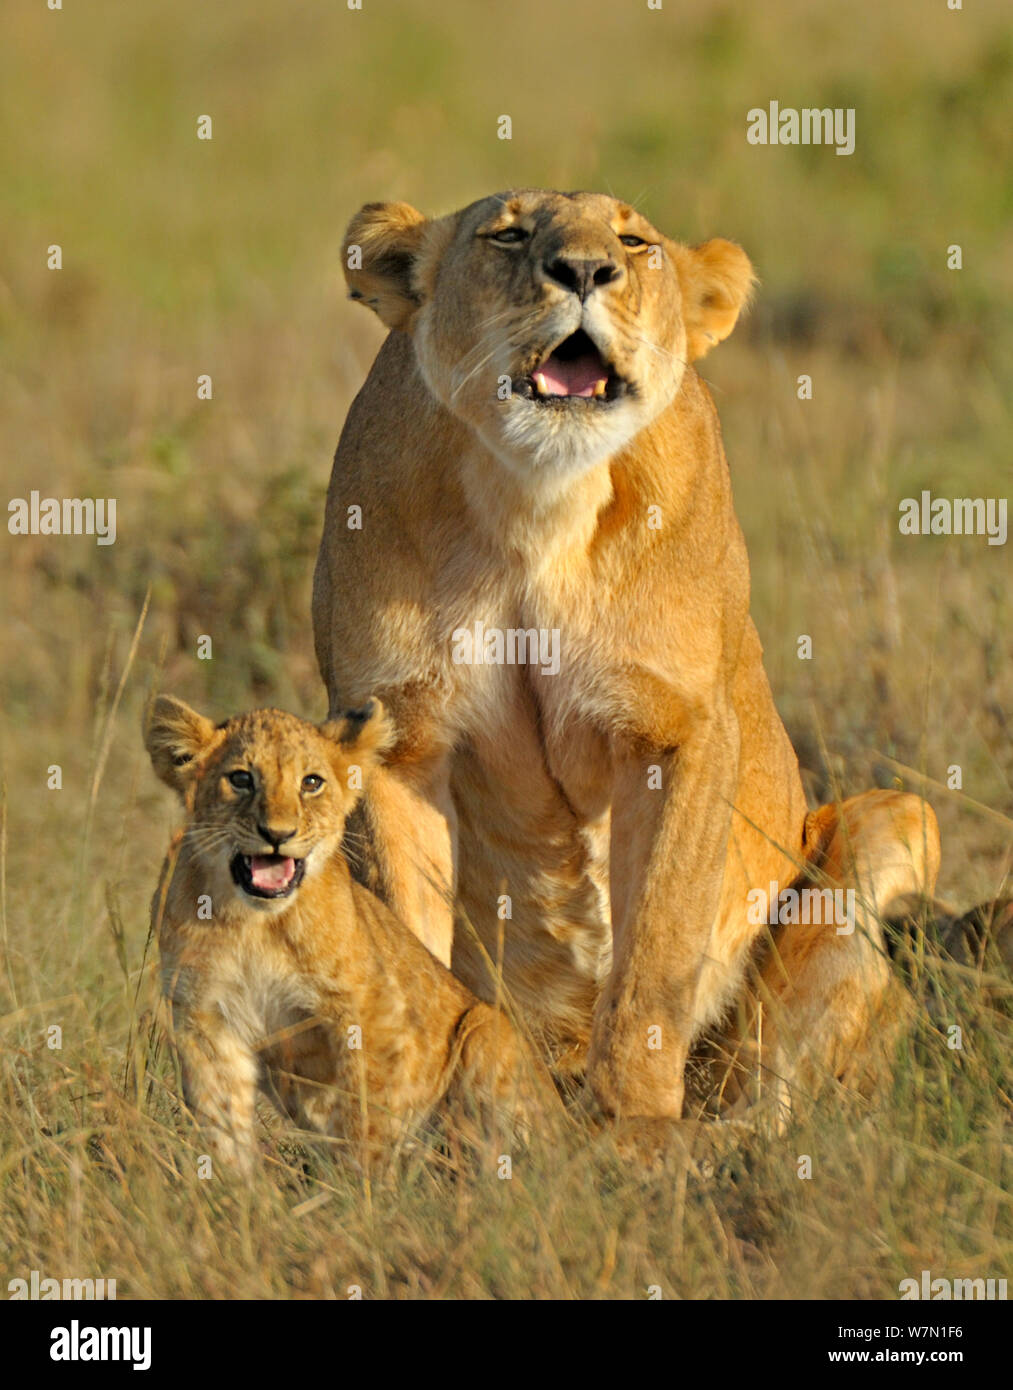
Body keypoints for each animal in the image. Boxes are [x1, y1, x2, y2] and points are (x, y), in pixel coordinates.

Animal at [143, 695, 547, 1173]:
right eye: (241, 779)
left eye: (311, 783)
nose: (277, 834)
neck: (255, 925)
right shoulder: (206, 1019)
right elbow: (223, 1128)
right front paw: (235, 1190)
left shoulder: (373, 1014)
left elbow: (365, 1120)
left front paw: (363, 1190)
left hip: (486, 1030)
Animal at [312, 188, 941, 1126]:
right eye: (506, 233)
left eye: (634, 242)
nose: (583, 270)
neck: (539, 502)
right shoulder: (395, 738)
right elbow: (402, 933)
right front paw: (401, 1124)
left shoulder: (681, 732)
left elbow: (656, 949)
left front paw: (633, 1126)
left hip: (892, 821)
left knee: (773, 1082)